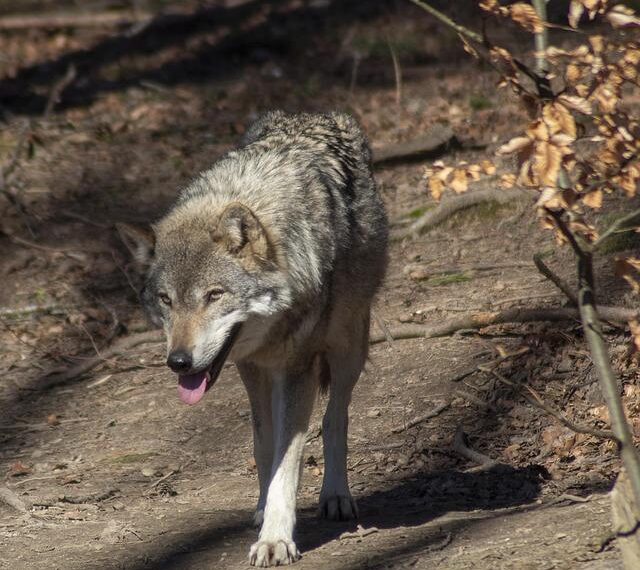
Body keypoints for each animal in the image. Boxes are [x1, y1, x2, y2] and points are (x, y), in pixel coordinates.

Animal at [118, 110, 388, 566]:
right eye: (166, 300)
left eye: (214, 295)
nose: (179, 362)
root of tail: (315, 113)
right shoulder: (251, 366)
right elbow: (265, 446)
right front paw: (264, 511)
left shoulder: (298, 368)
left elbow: (288, 459)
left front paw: (275, 538)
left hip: (347, 346)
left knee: (335, 418)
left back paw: (335, 495)